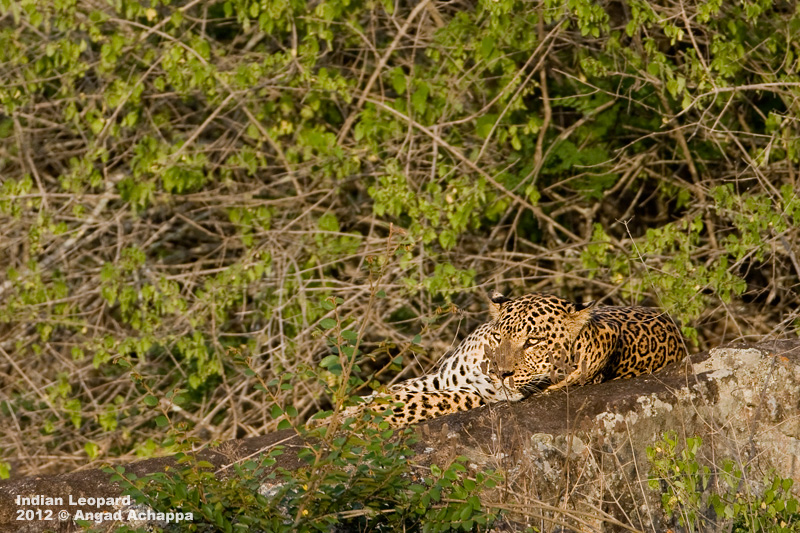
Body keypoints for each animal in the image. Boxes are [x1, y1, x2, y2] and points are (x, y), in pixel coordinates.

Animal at [340, 291, 687, 427]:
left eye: (533, 342)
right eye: (498, 337)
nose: (500, 372)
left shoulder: (479, 395)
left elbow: (421, 402)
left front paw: (360, 417)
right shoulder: (440, 376)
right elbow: (396, 391)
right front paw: (346, 411)